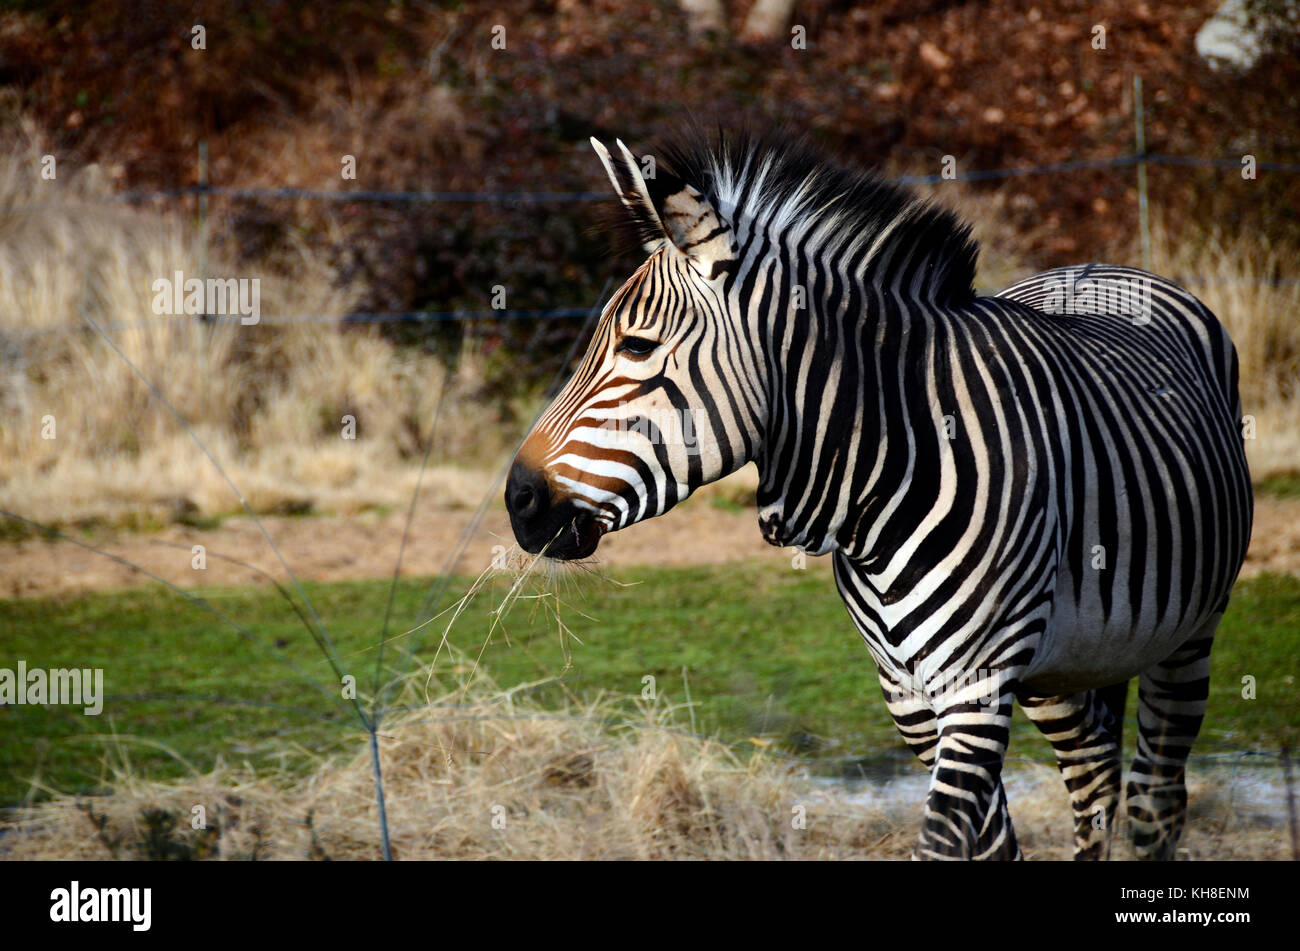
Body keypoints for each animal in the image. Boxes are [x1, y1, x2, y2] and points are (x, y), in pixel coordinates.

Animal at [504, 130, 1253, 860]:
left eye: (636, 346)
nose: (518, 500)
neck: (887, 476)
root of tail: (1104, 267)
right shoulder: (910, 698)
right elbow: (989, 845)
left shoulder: (977, 686)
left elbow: (946, 840)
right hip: (1069, 657)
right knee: (1095, 768)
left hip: (1190, 631)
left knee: (1157, 798)